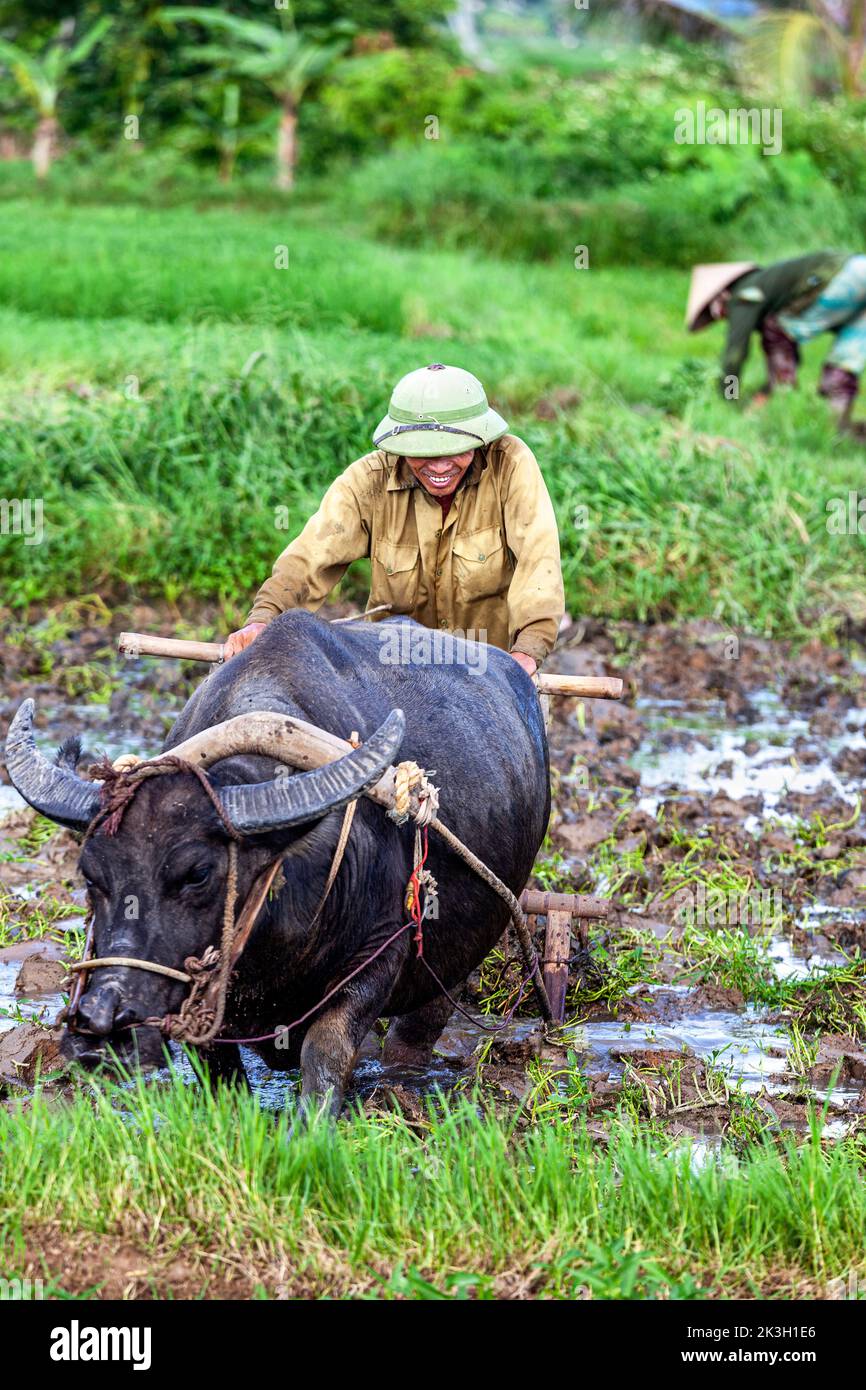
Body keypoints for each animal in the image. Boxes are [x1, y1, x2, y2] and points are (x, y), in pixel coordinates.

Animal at [5, 612, 549, 1114]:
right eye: (90, 875)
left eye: (197, 874)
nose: (101, 1025)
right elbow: (218, 1068)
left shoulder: (380, 950)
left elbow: (327, 1049)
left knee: (416, 1031)